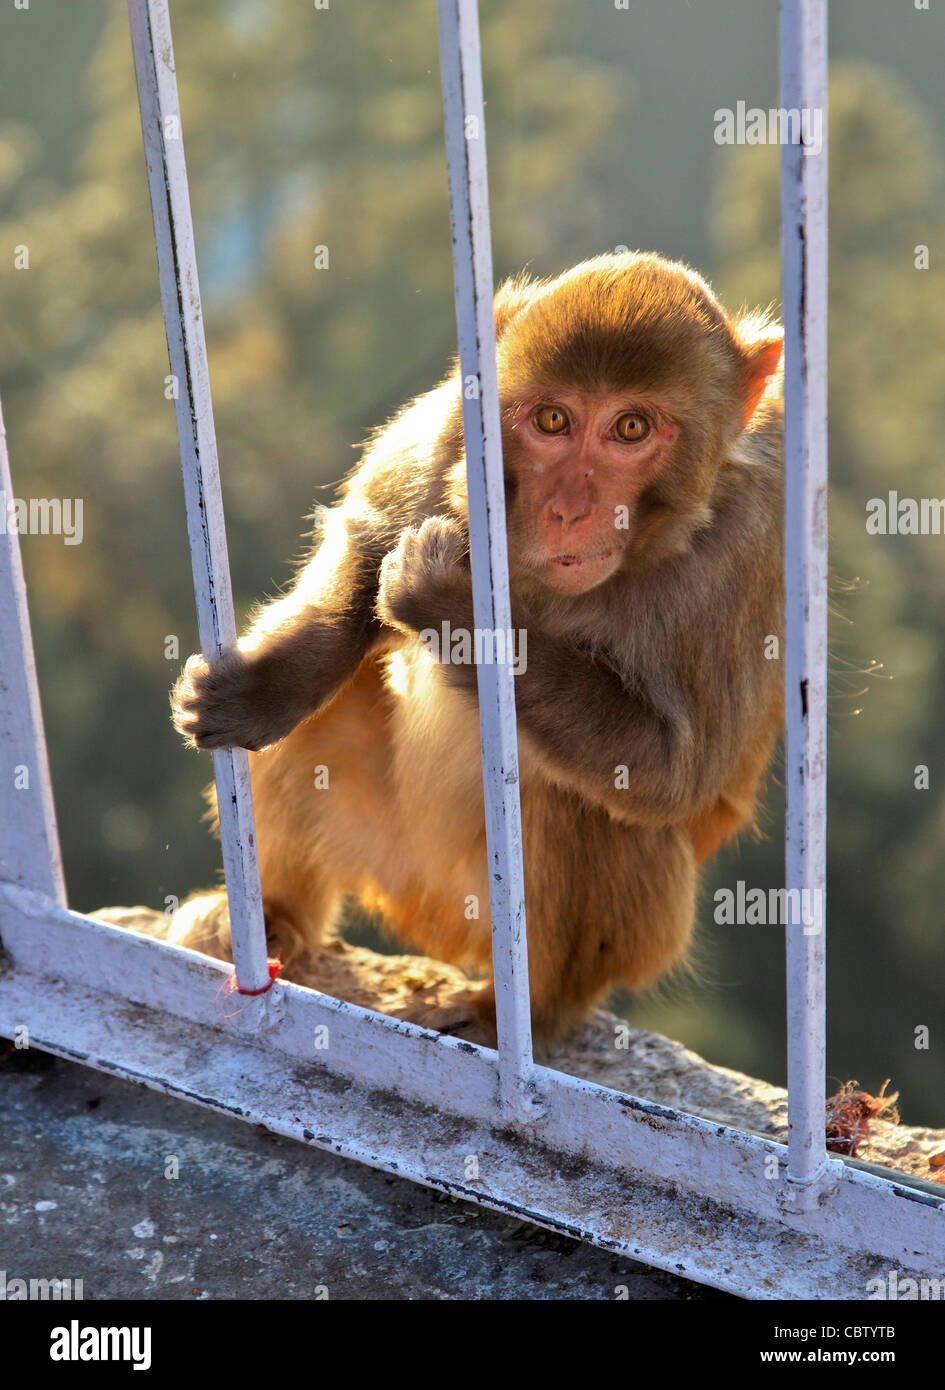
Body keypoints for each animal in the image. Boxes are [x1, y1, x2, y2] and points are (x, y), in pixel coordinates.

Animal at [168, 251, 785, 1046]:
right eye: (552, 420)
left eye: (630, 427)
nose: (569, 510)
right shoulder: (452, 429)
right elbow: (369, 534)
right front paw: (268, 687)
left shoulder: (746, 546)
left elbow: (676, 772)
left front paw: (450, 604)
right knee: (335, 711)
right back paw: (274, 917)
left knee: (576, 804)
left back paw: (516, 1017)